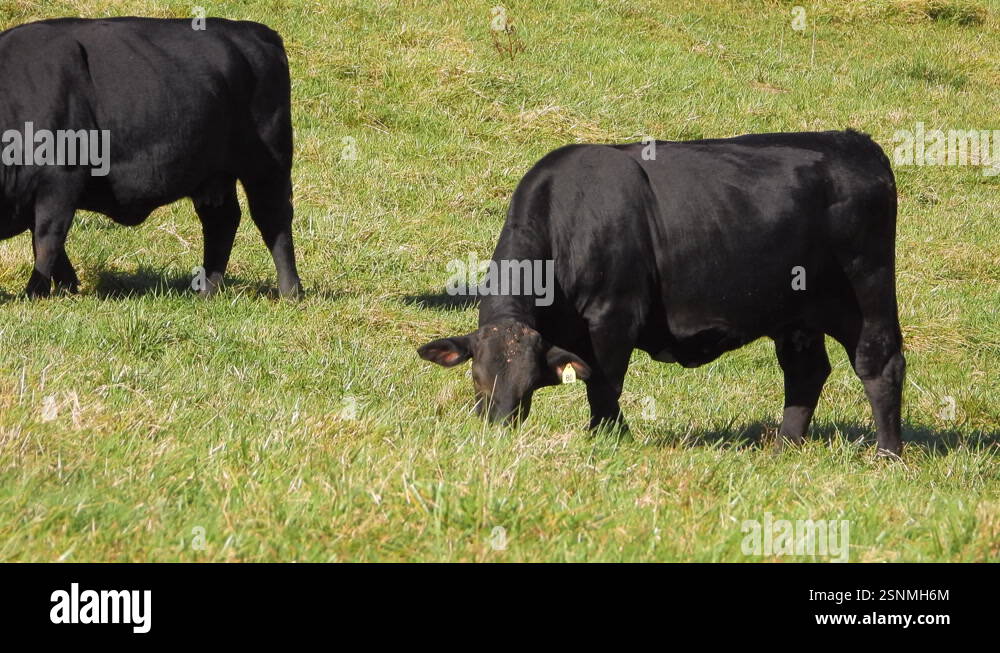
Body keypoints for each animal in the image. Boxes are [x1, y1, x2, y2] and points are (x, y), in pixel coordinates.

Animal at [0, 17, 302, 298]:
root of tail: (258, 32)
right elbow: (47, 240)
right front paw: (67, 287)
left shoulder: (61, 180)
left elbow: (47, 237)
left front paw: (35, 292)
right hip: (213, 174)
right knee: (221, 220)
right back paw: (207, 289)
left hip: (267, 163)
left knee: (273, 219)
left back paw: (290, 291)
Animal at [418, 130, 906, 456]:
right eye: (477, 378)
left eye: (528, 383)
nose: (498, 426)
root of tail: (855, 143)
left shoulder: (614, 314)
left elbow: (604, 384)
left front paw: (607, 439)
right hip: (796, 313)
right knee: (805, 371)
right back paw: (784, 446)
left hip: (866, 291)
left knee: (880, 363)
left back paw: (887, 454)